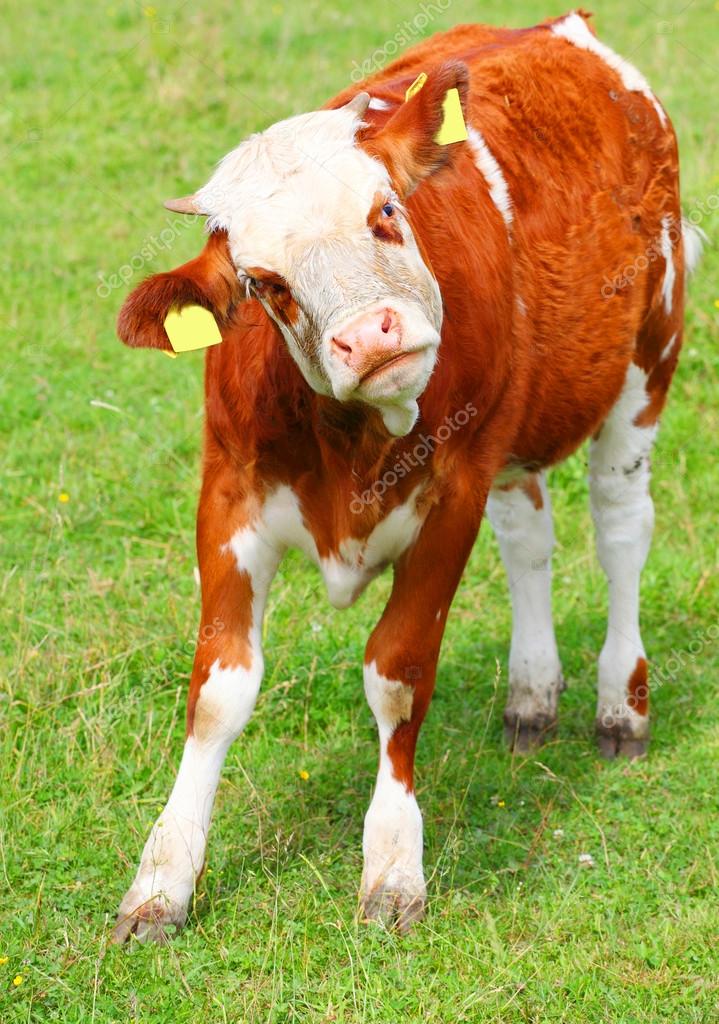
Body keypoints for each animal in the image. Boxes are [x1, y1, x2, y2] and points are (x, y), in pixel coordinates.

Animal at [111, 11, 702, 942]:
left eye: (385, 210)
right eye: (262, 282)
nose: (370, 337)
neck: (350, 441)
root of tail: (549, 24)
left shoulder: (450, 497)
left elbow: (396, 672)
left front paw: (392, 865)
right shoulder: (229, 497)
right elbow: (216, 691)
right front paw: (162, 881)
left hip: (648, 358)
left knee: (620, 529)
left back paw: (621, 704)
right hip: (514, 430)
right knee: (528, 536)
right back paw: (531, 695)